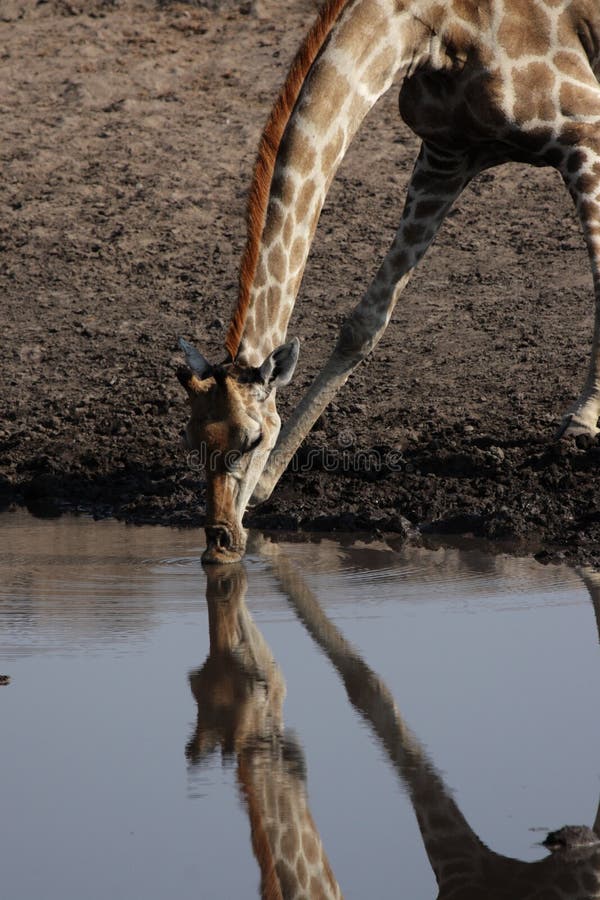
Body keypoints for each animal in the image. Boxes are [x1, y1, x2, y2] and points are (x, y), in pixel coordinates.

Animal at [178, 0, 600, 562]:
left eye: (252, 439)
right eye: (190, 438)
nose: (219, 542)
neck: (432, 29)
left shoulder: (585, 131)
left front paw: (581, 421)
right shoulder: (446, 155)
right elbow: (365, 321)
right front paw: (269, 485)